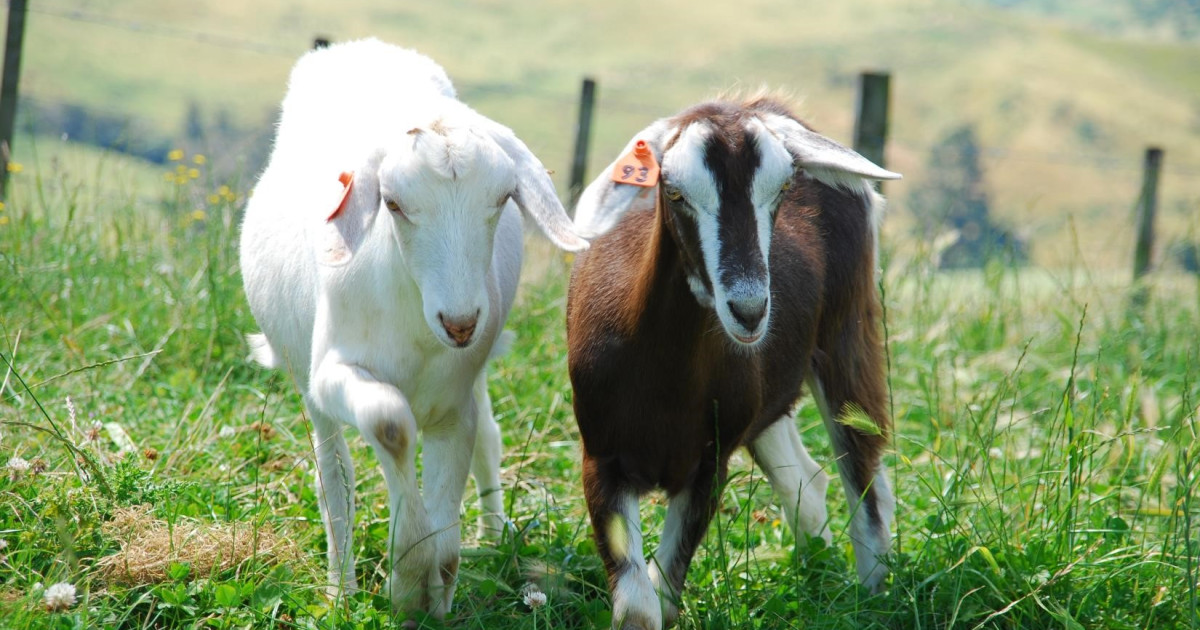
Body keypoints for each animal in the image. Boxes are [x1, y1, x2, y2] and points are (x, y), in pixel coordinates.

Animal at [239, 39, 587, 618]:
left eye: (502, 200)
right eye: (394, 204)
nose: (461, 322)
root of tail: (364, 47)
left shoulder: (454, 399)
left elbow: (460, 471)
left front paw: (436, 590)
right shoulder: (334, 373)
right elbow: (390, 423)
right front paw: (407, 582)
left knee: (489, 436)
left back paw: (495, 539)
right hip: (310, 384)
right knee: (333, 475)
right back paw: (341, 591)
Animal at [567, 96, 901, 629]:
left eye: (782, 189)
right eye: (673, 192)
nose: (749, 311)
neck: (662, 379)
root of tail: (761, 102)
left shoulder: (709, 465)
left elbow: (664, 596)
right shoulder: (600, 457)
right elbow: (640, 608)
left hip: (848, 331)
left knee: (864, 470)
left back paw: (871, 597)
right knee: (807, 481)